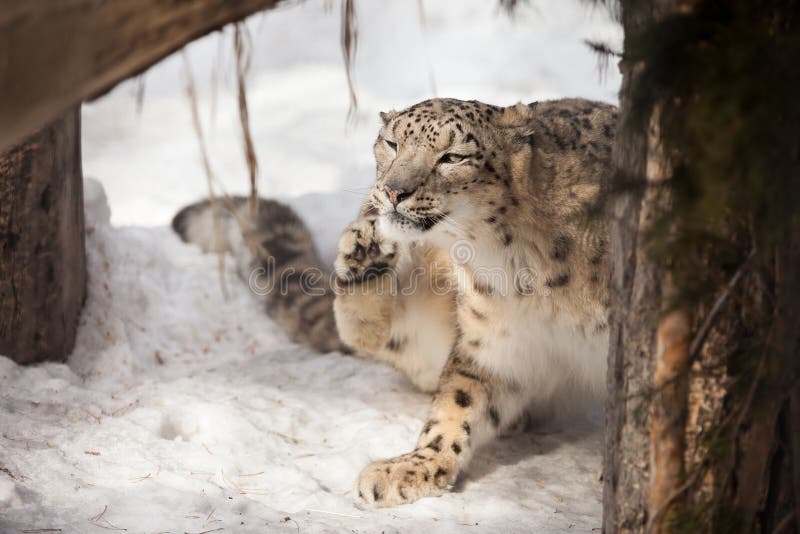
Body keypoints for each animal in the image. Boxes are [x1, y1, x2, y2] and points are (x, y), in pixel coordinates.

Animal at [173, 97, 617, 508]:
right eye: (392, 143)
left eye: (453, 157)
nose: (392, 191)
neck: (518, 266)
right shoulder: (490, 342)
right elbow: (458, 402)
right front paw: (418, 466)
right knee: (372, 333)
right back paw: (364, 260)